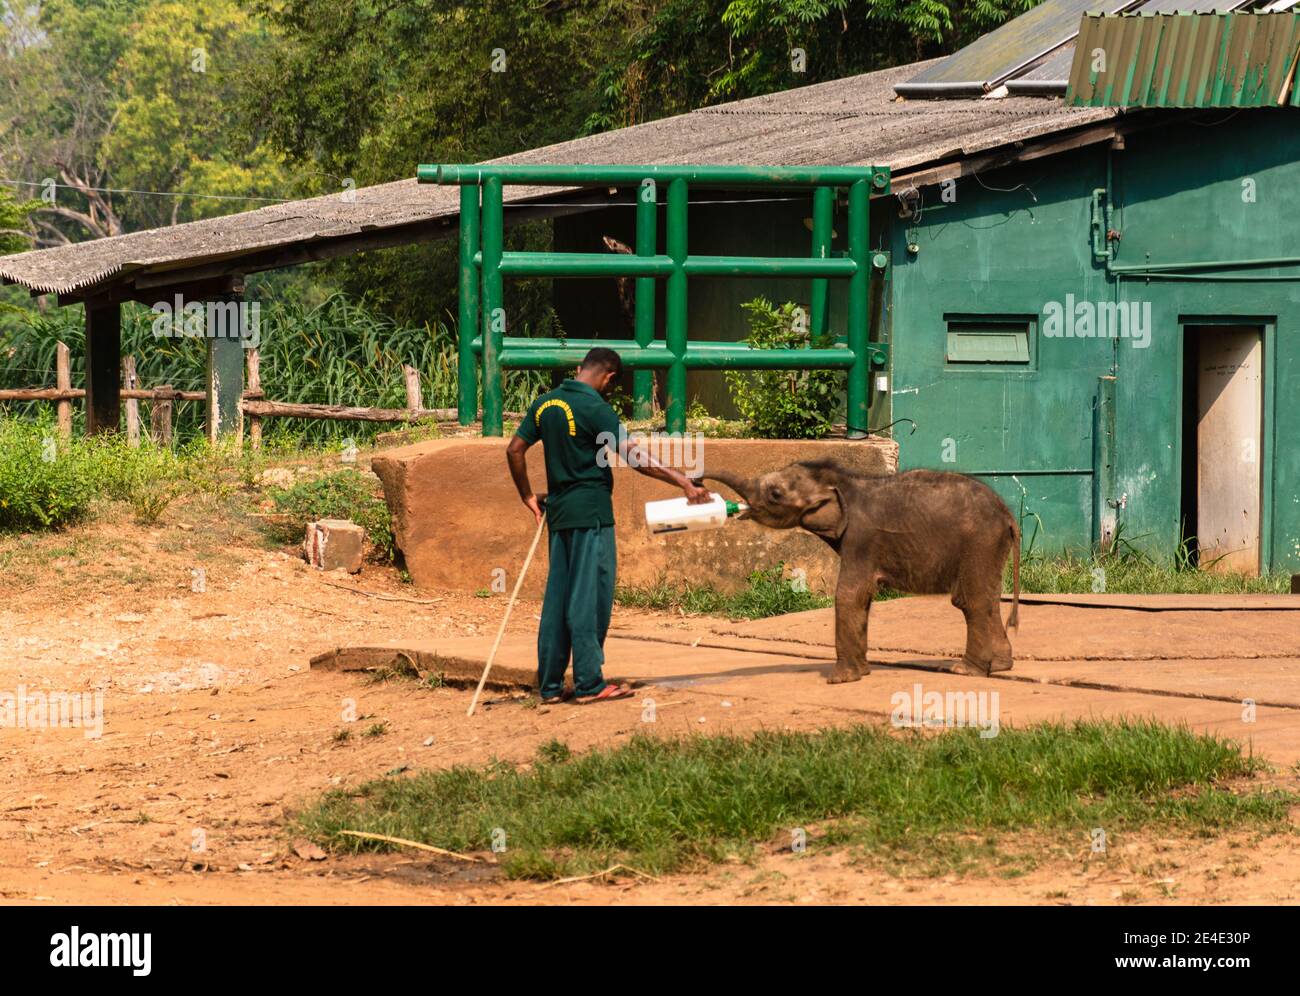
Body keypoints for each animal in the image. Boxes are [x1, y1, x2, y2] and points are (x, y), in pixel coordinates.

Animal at [702, 460, 1020, 683]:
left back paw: (967, 671)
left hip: (979, 542)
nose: (698, 481)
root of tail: (1008, 515)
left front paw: (839, 680)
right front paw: (861, 673)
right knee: (988, 597)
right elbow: (862, 597)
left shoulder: (861, 537)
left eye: (775, 494)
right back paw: (999, 666)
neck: (841, 482)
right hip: (989, 547)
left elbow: (850, 594)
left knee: (970, 601)